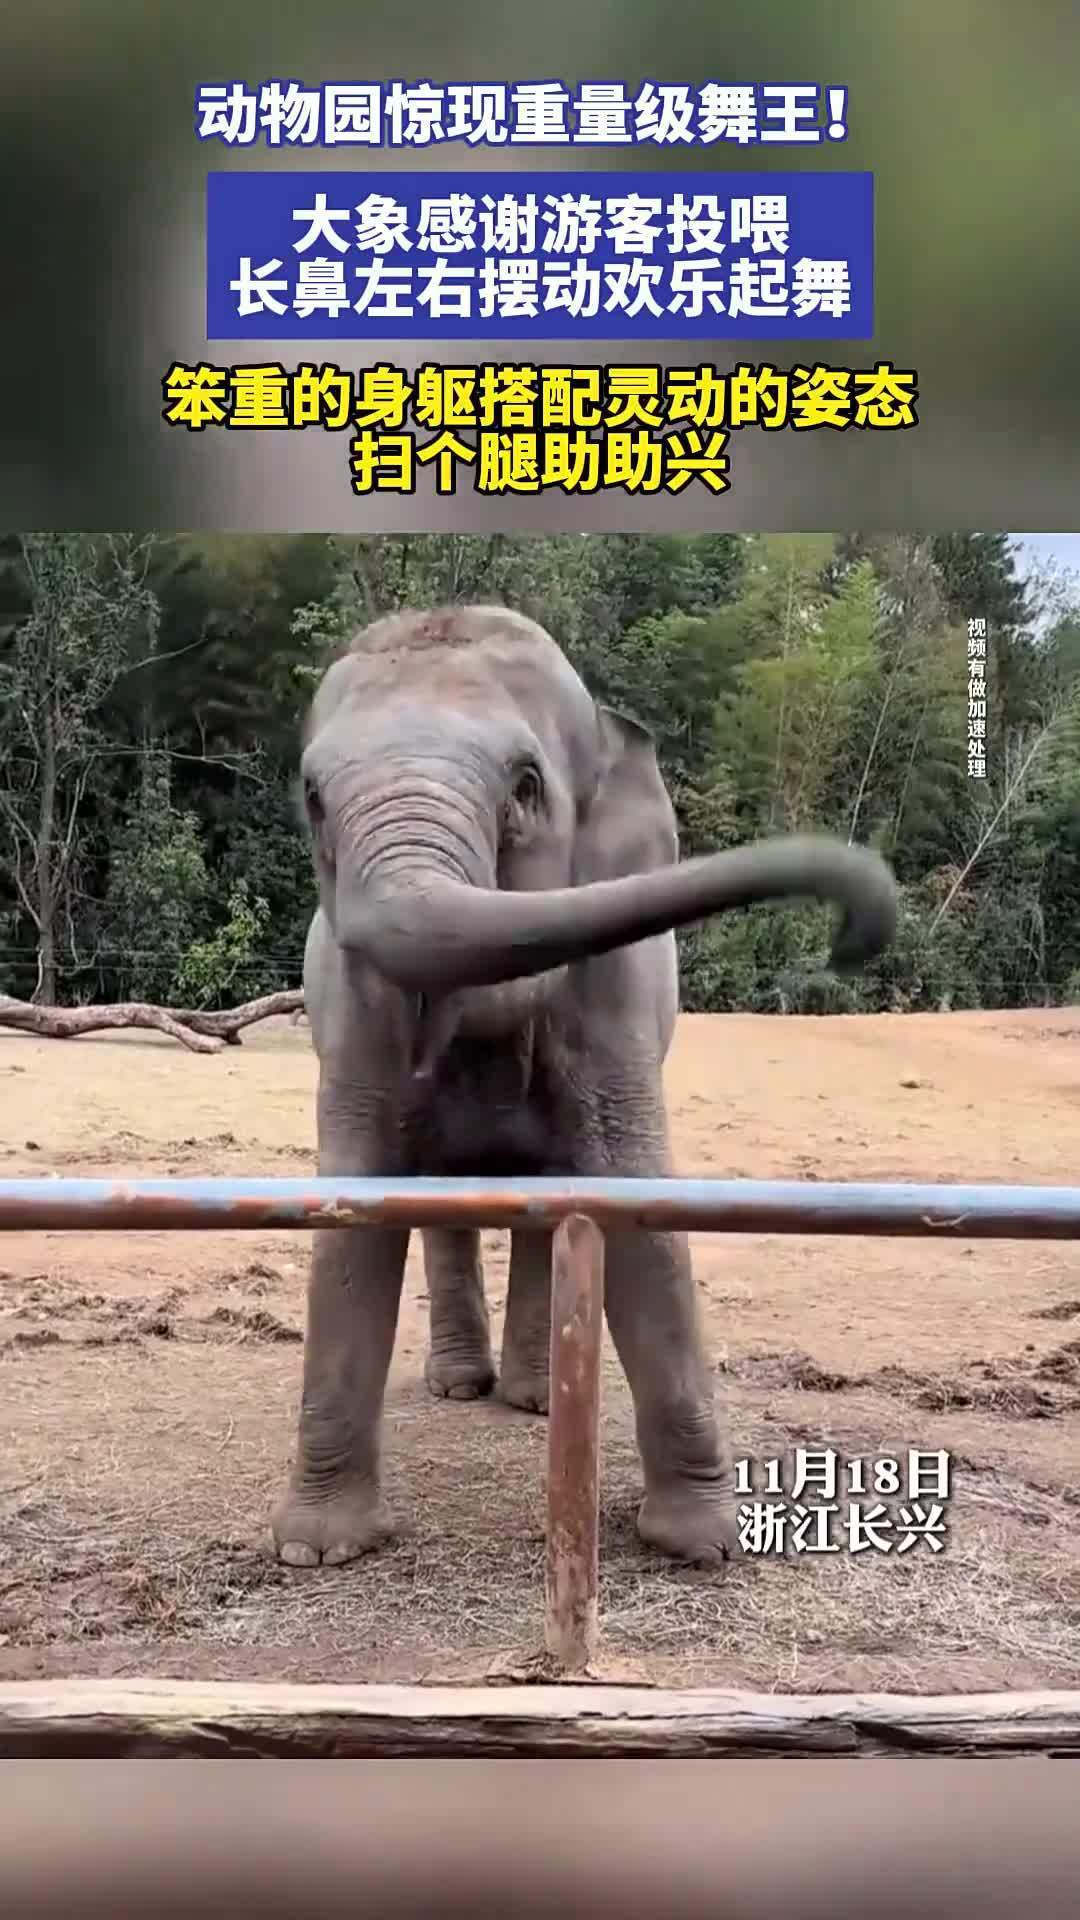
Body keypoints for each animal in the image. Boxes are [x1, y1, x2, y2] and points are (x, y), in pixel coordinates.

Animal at [271, 605, 897, 1570]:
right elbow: (356, 1207)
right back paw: (462, 1387)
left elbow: (632, 1195)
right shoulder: (349, 1006)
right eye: (313, 800)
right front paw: (318, 1552)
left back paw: (529, 1398)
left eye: (526, 788)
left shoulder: (615, 992)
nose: (855, 932)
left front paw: (706, 1547)